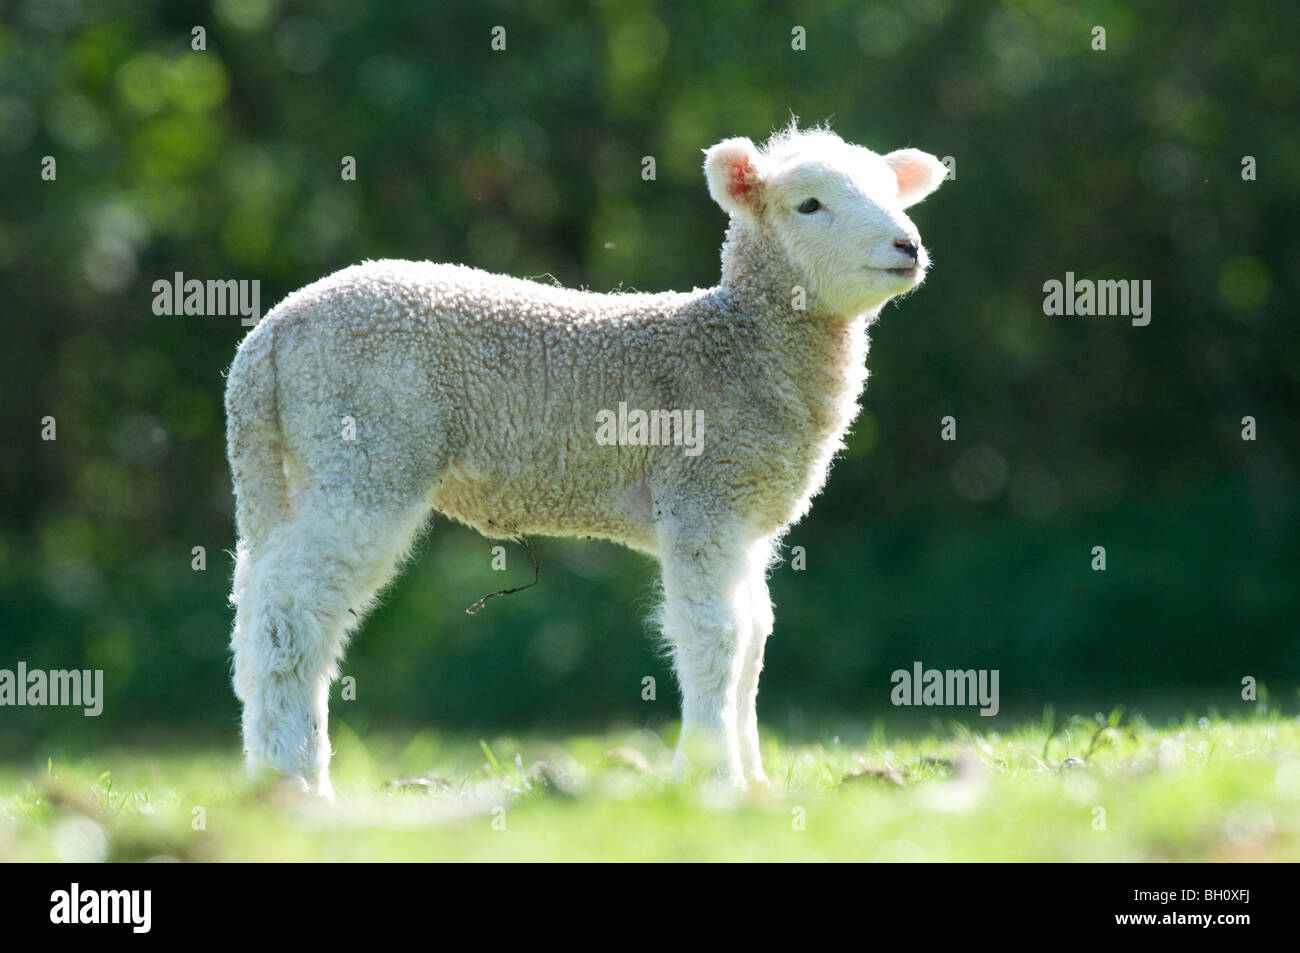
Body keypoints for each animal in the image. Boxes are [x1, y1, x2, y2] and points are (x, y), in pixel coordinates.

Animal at [225, 124, 947, 797]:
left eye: (892, 193)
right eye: (809, 204)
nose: (908, 245)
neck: (738, 348)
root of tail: (267, 339)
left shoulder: (744, 517)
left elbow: (755, 640)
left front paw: (755, 782)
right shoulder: (701, 498)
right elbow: (715, 637)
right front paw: (711, 778)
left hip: (297, 465)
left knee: (255, 600)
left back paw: (271, 779)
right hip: (365, 448)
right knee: (292, 612)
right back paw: (301, 783)